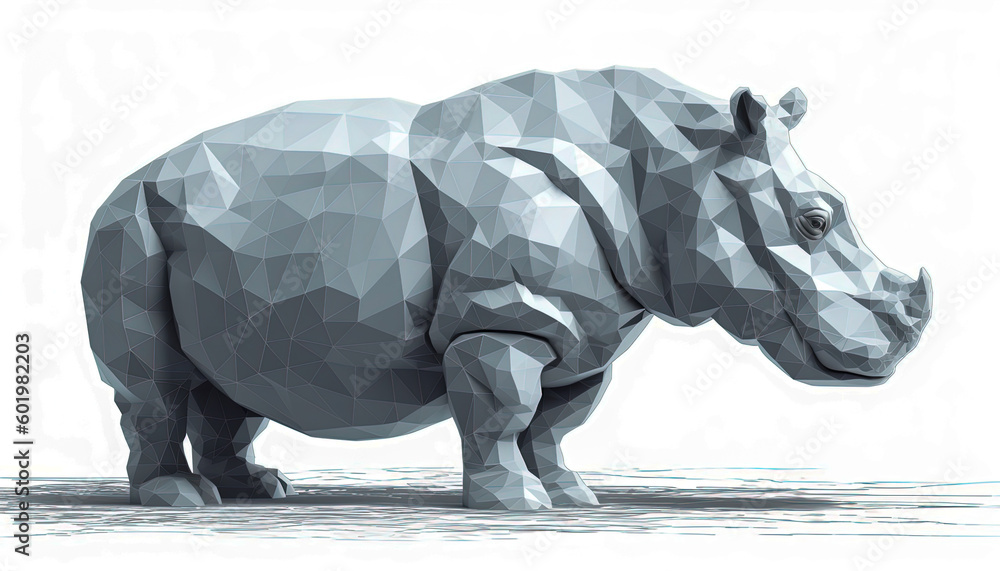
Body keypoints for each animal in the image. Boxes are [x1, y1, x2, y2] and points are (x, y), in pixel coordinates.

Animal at [82, 66, 932, 510]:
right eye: (815, 222)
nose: (897, 350)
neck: (674, 169)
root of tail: (125, 177)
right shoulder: (505, 317)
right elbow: (506, 409)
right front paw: (514, 503)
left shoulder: (584, 328)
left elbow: (555, 420)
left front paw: (572, 496)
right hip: (127, 225)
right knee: (157, 381)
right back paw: (180, 500)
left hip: (204, 237)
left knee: (228, 378)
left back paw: (261, 490)